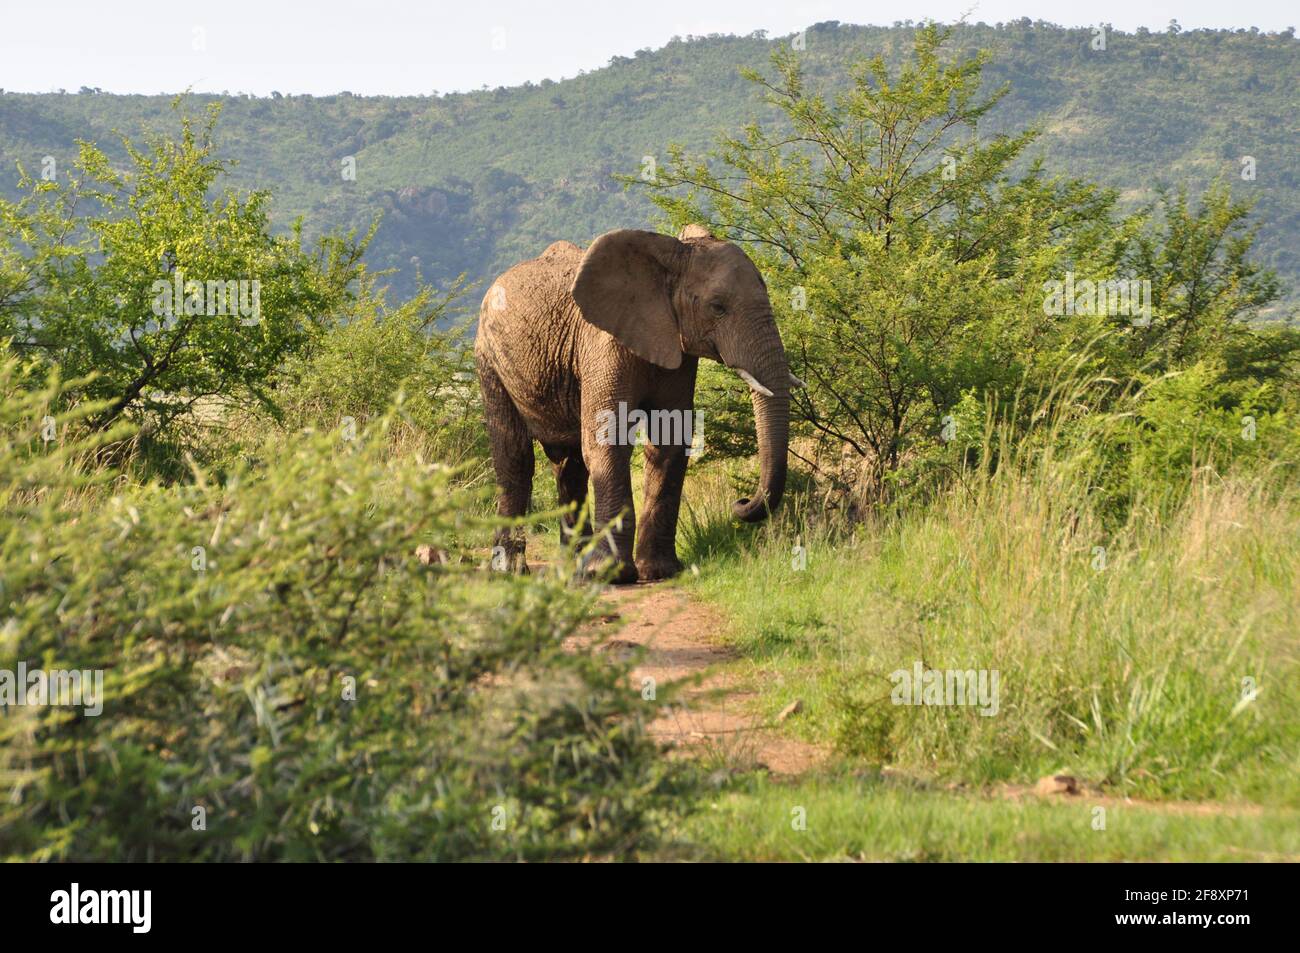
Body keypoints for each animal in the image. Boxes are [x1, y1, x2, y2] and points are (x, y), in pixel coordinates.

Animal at [474, 224, 798, 584]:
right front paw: (609, 574)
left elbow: (669, 443)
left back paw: (572, 568)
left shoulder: (677, 352)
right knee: (515, 457)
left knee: (569, 465)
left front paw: (659, 571)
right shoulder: (604, 344)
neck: (668, 257)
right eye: (717, 307)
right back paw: (512, 570)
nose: (740, 503)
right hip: (490, 357)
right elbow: (608, 441)